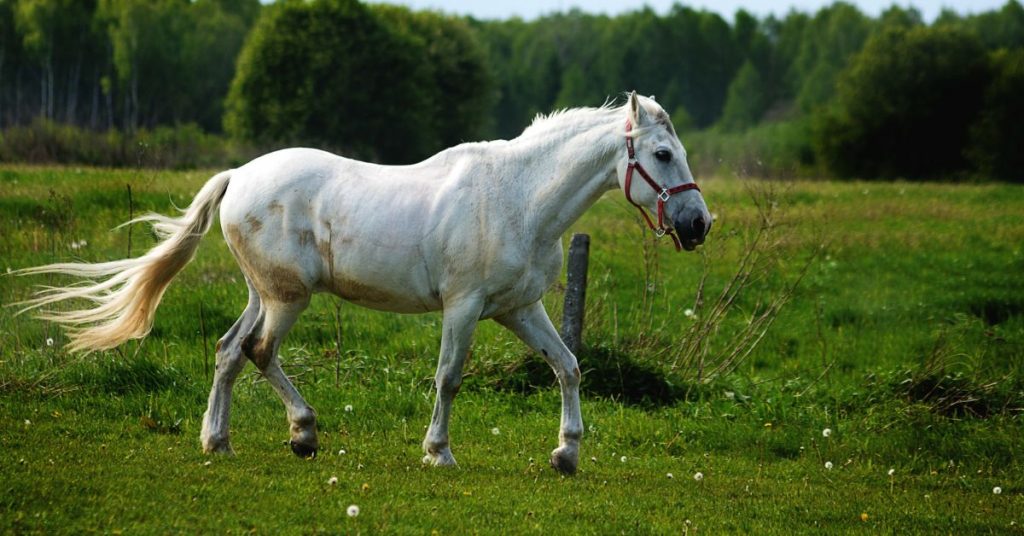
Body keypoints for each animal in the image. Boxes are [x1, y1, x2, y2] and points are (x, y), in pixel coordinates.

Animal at [16, 92, 711, 474]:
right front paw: (438, 452)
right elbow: (449, 378)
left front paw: (566, 454)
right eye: (662, 155)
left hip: (264, 293)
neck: (517, 197)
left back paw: (219, 440)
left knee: (228, 351)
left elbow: (567, 366)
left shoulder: (520, 309)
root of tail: (238, 176)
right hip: (288, 298)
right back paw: (302, 433)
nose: (698, 224)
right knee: (257, 351)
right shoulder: (464, 307)